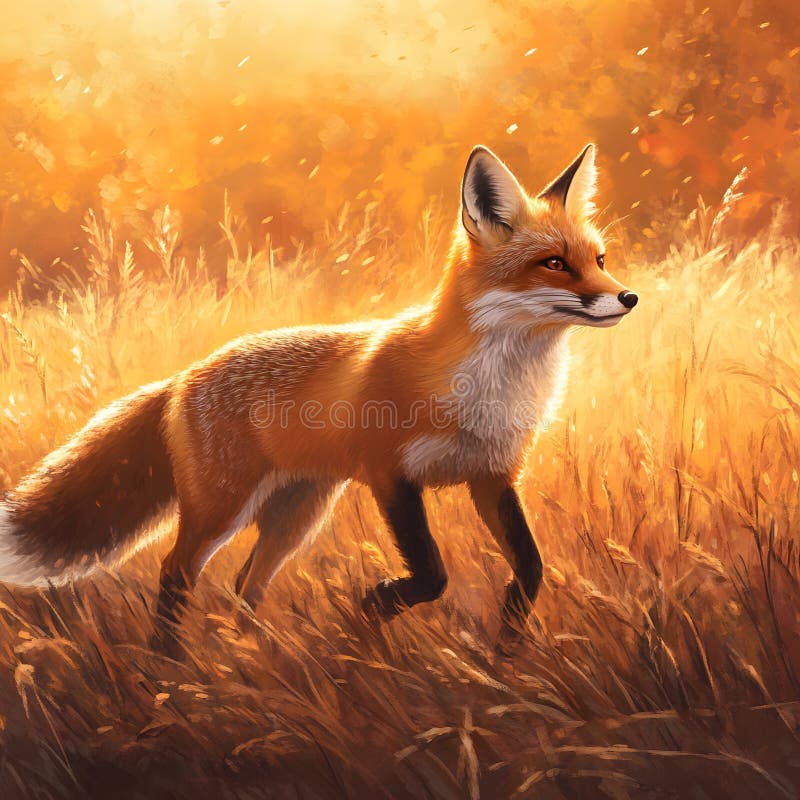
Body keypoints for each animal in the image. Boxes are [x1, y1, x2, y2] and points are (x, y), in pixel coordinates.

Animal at [0, 143, 637, 652]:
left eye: (599, 260)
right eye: (554, 263)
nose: (628, 297)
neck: (489, 389)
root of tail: (183, 376)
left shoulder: (492, 476)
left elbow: (531, 567)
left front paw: (508, 640)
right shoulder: (391, 475)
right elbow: (432, 574)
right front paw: (377, 605)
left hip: (297, 514)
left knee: (245, 585)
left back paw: (258, 659)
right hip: (223, 508)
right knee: (176, 572)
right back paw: (170, 665)